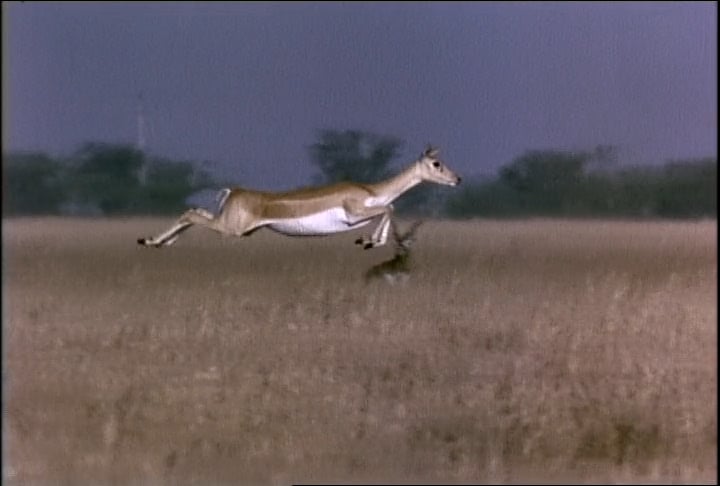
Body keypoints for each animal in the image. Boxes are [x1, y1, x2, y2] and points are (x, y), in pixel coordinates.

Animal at [137, 145, 460, 249]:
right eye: (436, 164)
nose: (457, 179)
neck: (371, 191)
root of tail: (234, 192)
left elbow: (389, 209)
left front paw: (368, 241)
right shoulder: (355, 214)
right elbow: (389, 207)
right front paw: (369, 241)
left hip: (233, 226)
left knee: (193, 211)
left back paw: (158, 242)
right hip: (232, 230)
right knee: (189, 213)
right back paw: (150, 240)